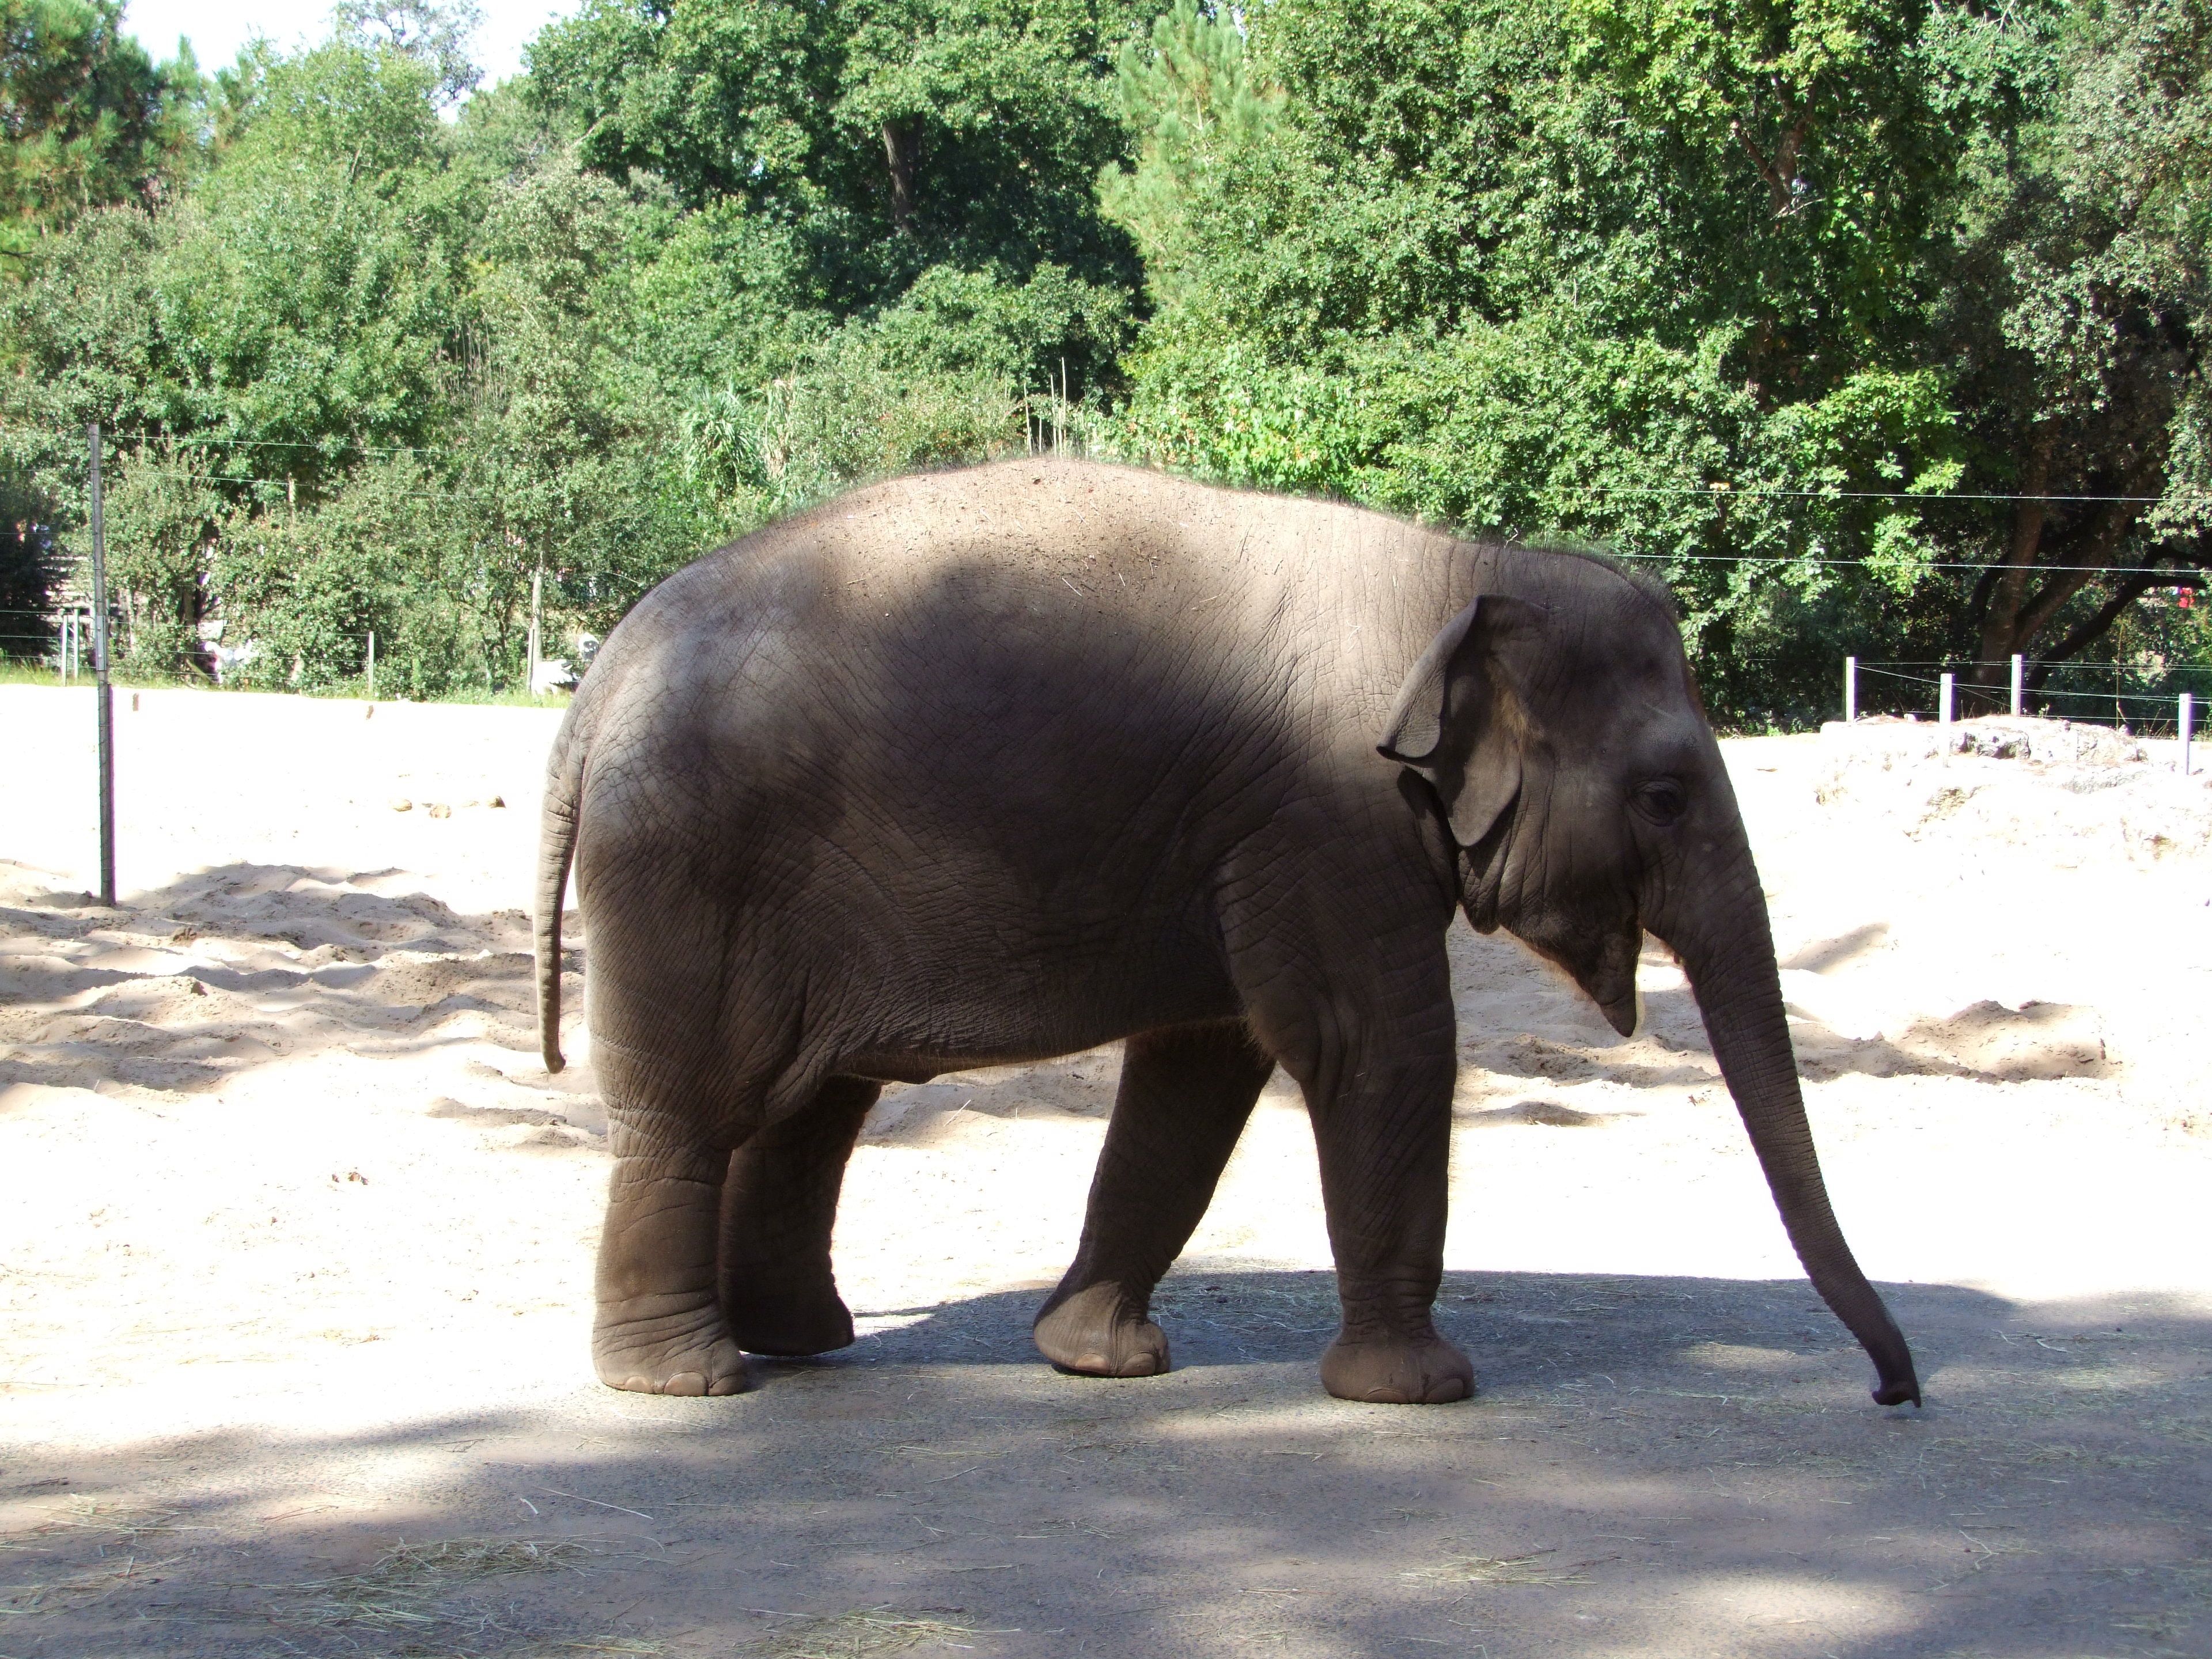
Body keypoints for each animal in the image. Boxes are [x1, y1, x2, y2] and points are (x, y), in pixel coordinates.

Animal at [534, 456, 1920, 1409]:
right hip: (690, 869)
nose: (1894, 1393)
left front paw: (1098, 1360)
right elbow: (1380, 1050)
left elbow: (1201, 1077)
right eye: (1666, 796)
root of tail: (601, 673)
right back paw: (690, 1380)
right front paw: (1423, 1391)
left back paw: (803, 1344)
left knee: (811, 1107)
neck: (1458, 572)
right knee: (696, 1105)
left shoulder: (1246, 845)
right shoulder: (1328, 817)